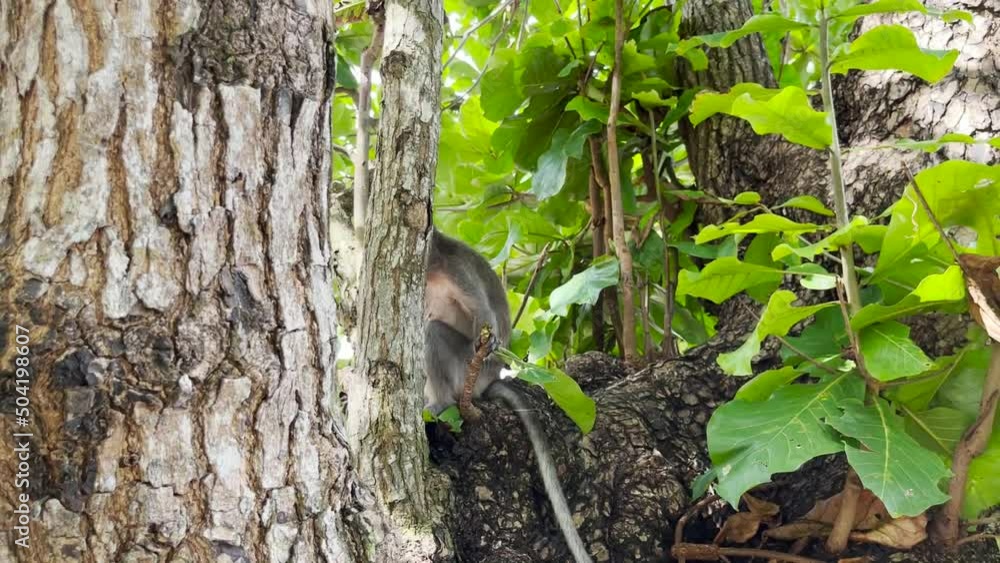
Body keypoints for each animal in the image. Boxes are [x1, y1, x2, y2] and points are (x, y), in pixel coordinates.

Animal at [424, 228, 593, 563]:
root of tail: (488, 379)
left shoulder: (454, 268)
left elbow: (480, 311)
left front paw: (490, 338)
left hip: (466, 366)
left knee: (433, 331)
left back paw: (440, 403)